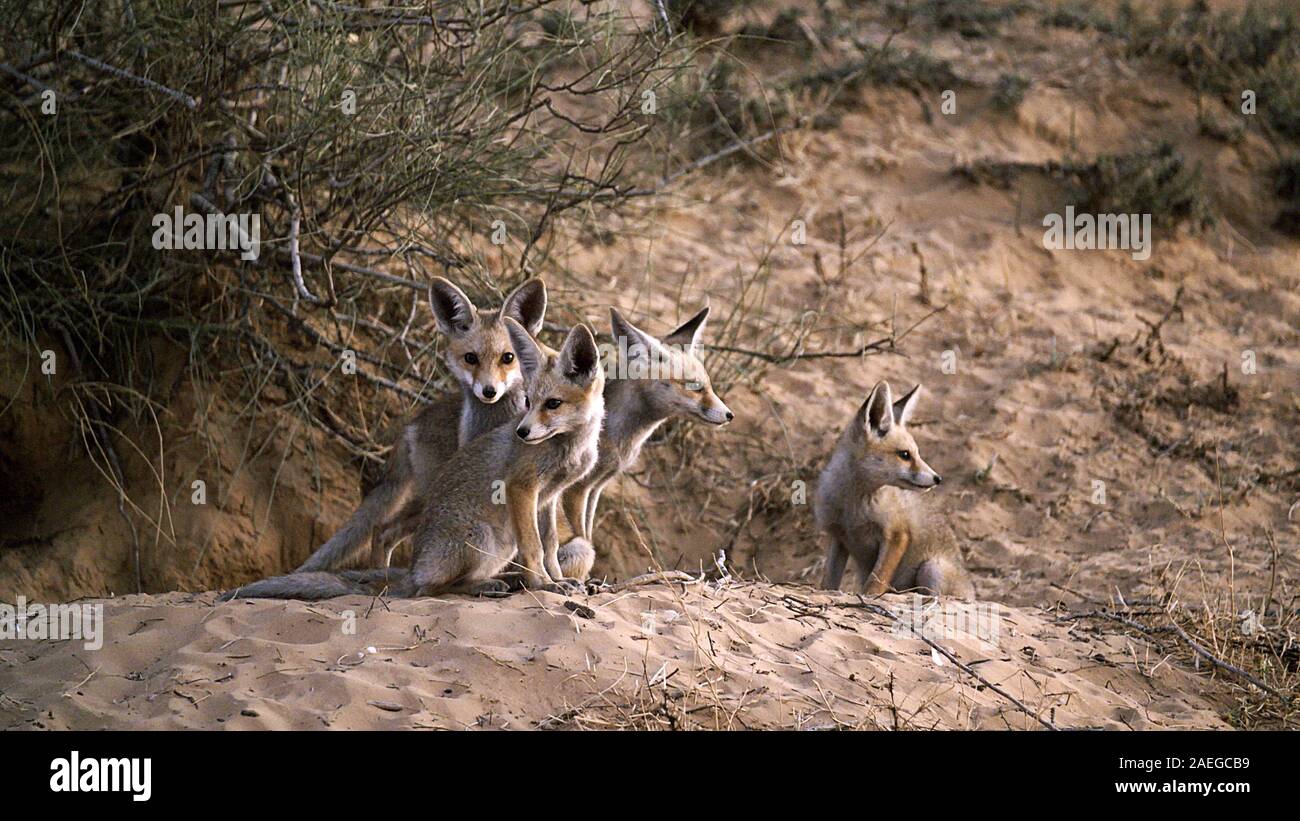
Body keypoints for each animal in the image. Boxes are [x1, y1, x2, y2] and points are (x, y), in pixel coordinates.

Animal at [219, 319, 605, 601]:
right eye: (527, 401)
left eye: (552, 404)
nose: (522, 433)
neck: (570, 449)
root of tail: (414, 566)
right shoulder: (521, 487)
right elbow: (535, 547)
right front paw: (544, 586)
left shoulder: (549, 497)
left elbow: (550, 545)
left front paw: (558, 581)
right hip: (484, 539)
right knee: (430, 589)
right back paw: (485, 585)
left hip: (498, 544)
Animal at [294, 276, 547, 574]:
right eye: (471, 358)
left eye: (508, 357)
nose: (489, 391)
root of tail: (413, 421)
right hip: (431, 495)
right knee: (381, 530)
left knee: (384, 531)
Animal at [554, 306, 733, 581]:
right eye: (695, 387)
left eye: (709, 386)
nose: (729, 415)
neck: (618, 438)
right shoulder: (577, 488)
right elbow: (580, 533)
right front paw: (584, 581)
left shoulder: (595, 487)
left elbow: (588, 530)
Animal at [813, 380, 974, 599]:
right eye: (905, 455)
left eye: (917, 453)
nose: (937, 479)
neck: (853, 506)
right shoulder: (838, 536)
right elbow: (828, 583)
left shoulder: (897, 534)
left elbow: (875, 582)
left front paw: (868, 597)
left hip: (931, 569)